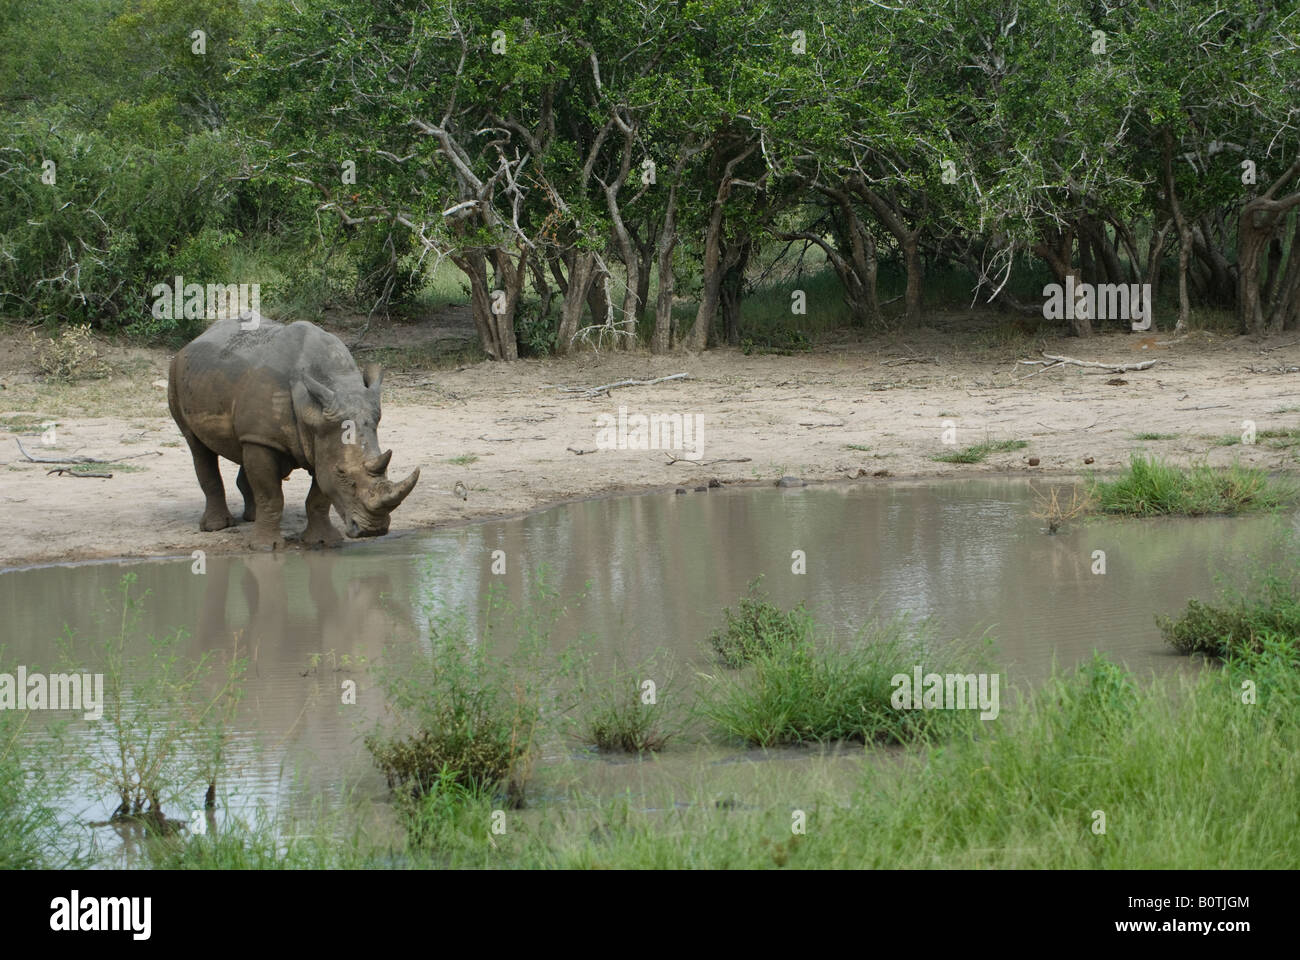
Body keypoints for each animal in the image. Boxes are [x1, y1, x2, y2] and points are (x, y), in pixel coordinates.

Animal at [168, 316, 419, 550]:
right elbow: (271, 495)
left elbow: (319, 495)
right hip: (176, 374)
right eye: (342, 473)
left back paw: (251, 518)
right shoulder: (274, 437)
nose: (374, 530)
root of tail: (194, 340)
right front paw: (264, 547)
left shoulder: (322, 436)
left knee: (242, 447)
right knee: (197, 446)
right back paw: (216, 527)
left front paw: (323, 541)